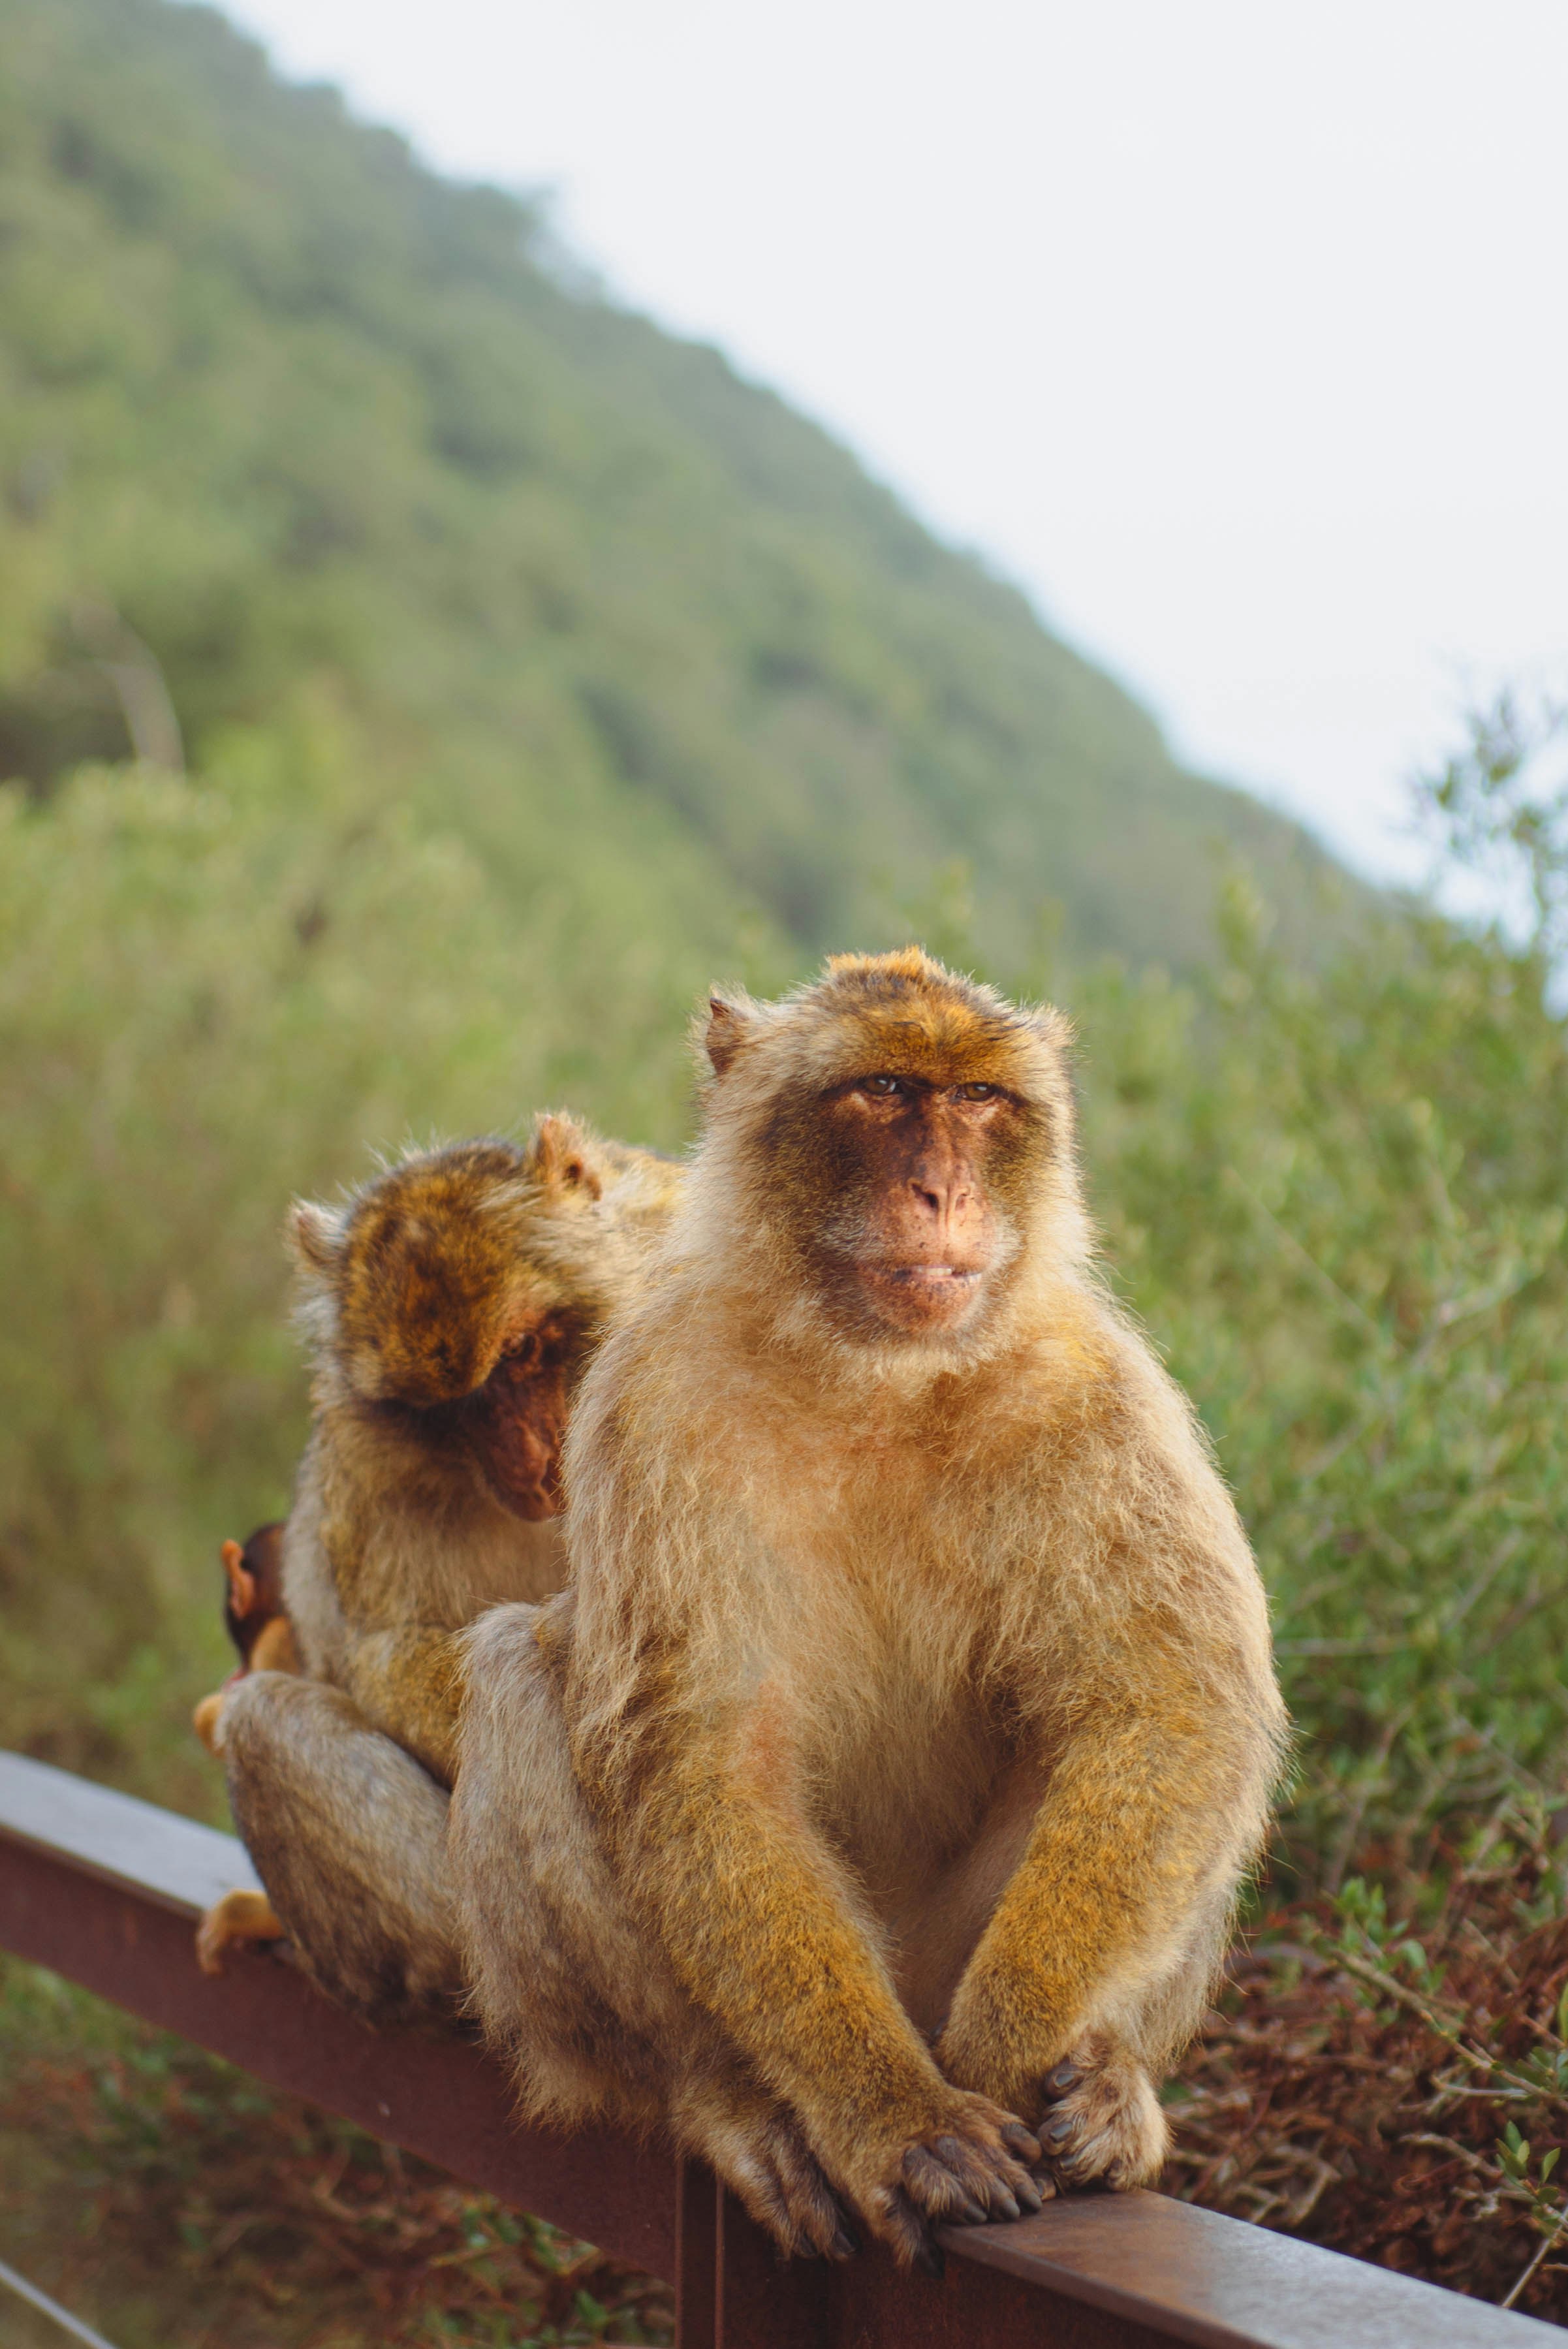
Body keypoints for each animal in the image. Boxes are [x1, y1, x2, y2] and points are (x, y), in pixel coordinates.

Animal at [198, 1114, 686, 2009]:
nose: (529, 1455)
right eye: (455, 1405)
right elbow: (378, 1651)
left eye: (522, 1351)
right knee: (268, 1721)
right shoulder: (364, 1453)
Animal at [448, 949, 1287, 2269]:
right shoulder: (653, 1395)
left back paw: (1108, 2079)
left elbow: (1170, 1702)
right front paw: (895, 2116)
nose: (942, 1189)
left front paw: (1006, 2054)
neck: (876, 1377)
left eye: (981, 1100)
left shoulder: (1094, 1387)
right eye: (884, 1090)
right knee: (525, 1674)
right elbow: (708, 1756)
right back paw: (728, 2099)